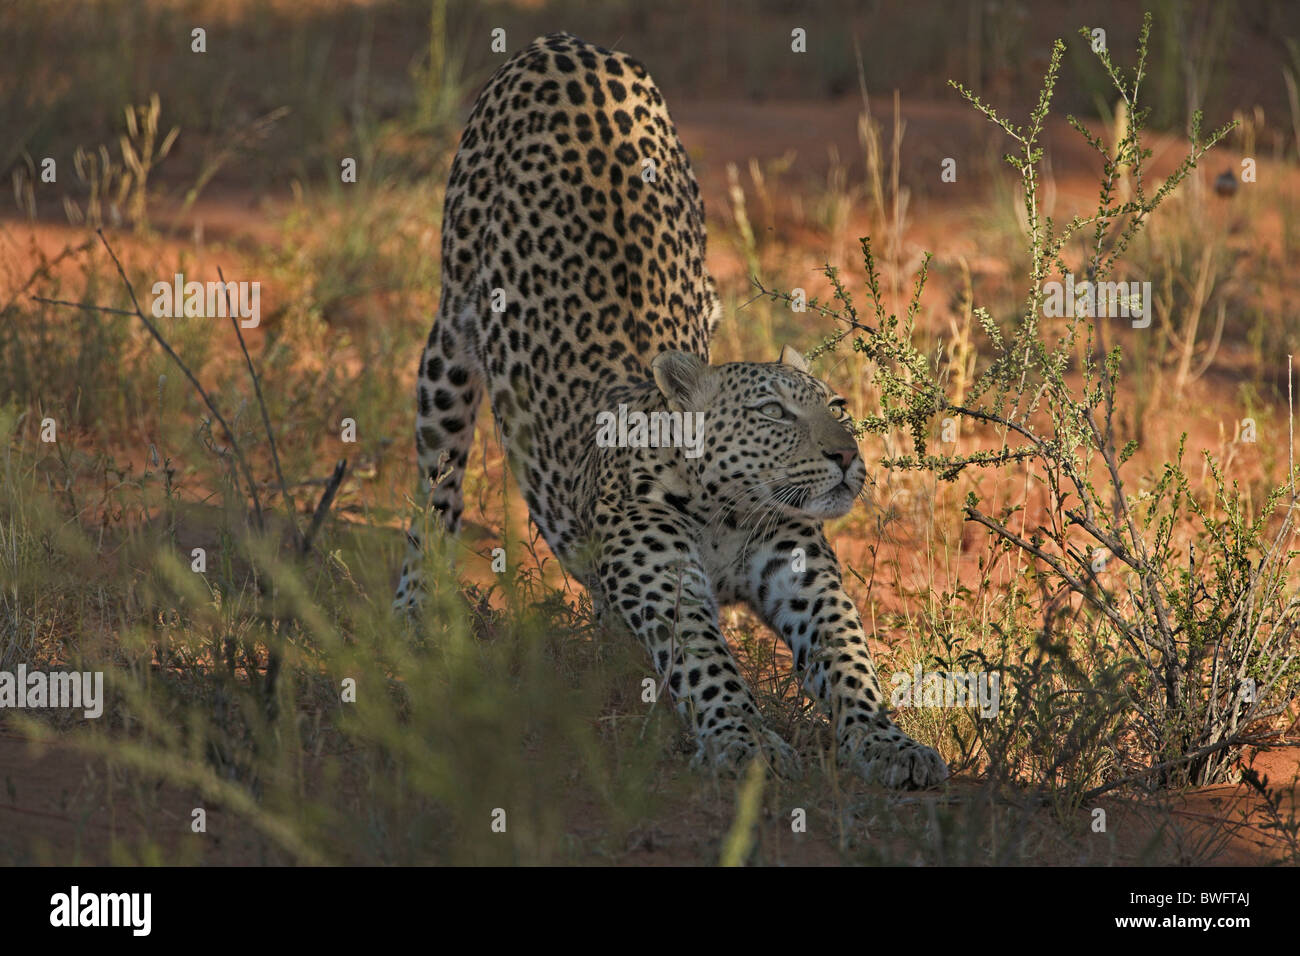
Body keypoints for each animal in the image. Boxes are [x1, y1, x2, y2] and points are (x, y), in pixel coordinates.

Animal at [396, 31, 948, 789]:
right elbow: (708, 663)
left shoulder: (804, 575)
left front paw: (886, 740)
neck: (730, 514)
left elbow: (847, 657)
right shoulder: (665, 581)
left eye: (836, 405)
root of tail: (565, 42)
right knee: (435, 490)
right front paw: (745, 741)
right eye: (775, 413)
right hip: (449, 343)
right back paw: (413, 615)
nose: (846, 456)